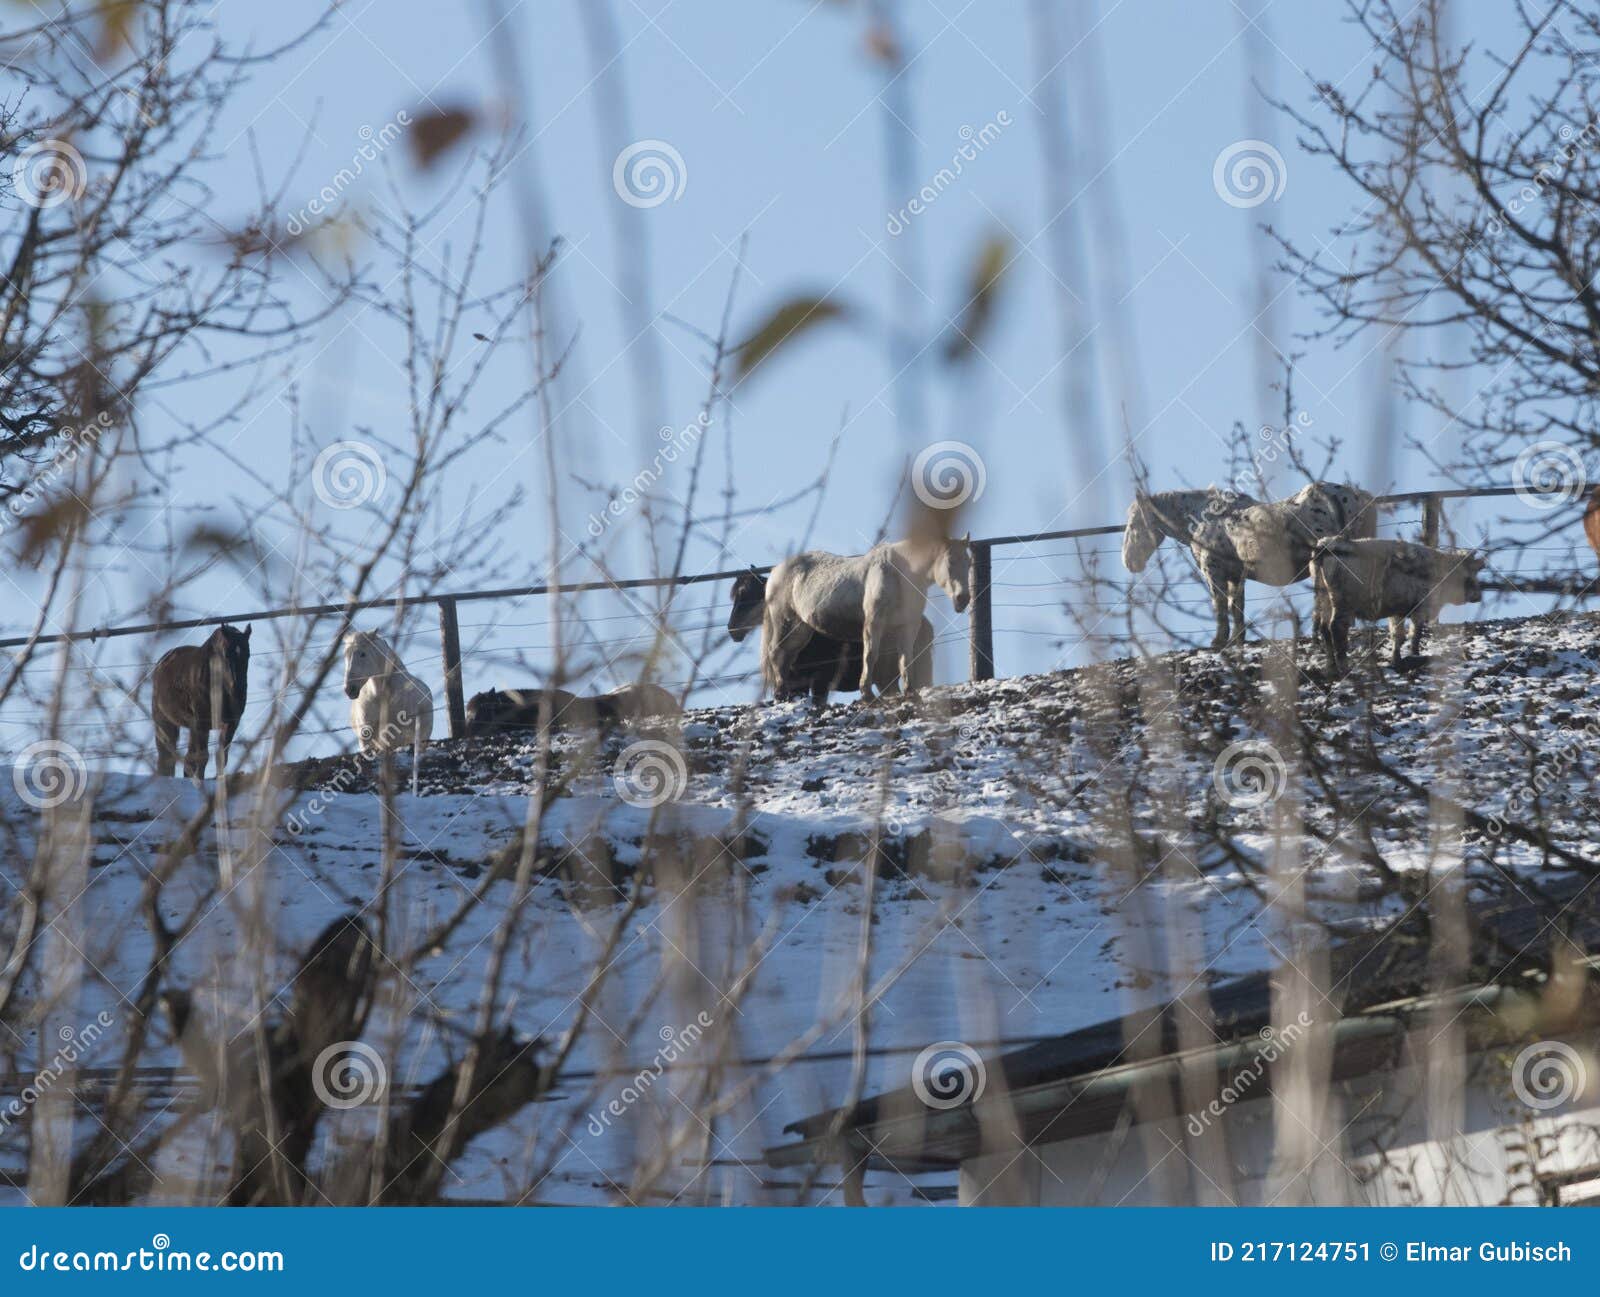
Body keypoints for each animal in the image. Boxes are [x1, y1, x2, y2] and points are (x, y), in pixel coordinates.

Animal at [151, 624, 252, 779]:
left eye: (248, 655)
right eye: (226, 655)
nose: (238, 689)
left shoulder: (231, 723)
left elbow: (221, 756)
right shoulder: (202, 723)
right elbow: (203, 757)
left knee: (188, 759)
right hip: (166, 723)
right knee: (167, 758)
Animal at [762, 535, 970, 701]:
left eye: (968, 562)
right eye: (950, 562)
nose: (963, 599)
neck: (899, 574)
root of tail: (776, 571)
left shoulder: (908, 626)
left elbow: (906, 658)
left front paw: (911, 692)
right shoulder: (873, 624)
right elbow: (870, 655)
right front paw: (866, 693)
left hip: (801, 628)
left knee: (788, 655)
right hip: (785, 621)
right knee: (776, 652)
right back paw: (780, 693)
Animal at [1120, 481, 1376, 646]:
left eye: (1133, 524)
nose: (1129, 562)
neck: (1206, 518)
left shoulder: (1215, 573)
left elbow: (1221, 607)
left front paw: (1219, 641)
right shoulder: (1236, 576)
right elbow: (1237, 608)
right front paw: (1237, 639)